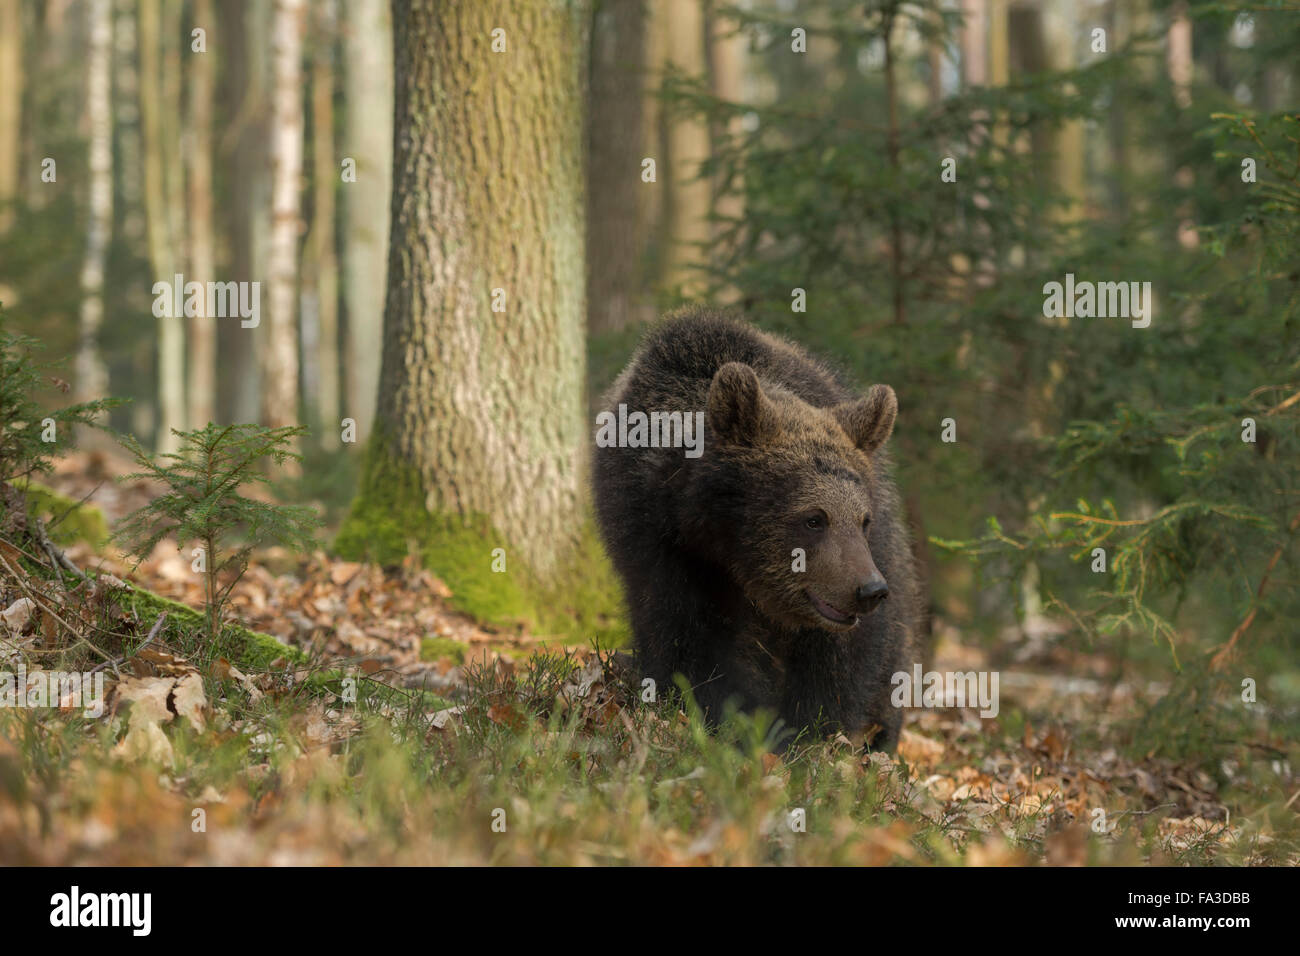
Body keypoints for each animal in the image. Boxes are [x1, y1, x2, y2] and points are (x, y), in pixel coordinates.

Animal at [593, 306, 920, 751]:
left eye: (863, 519)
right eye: (814, 518)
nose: (869, 590)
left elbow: (840, 661)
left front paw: (811, 733)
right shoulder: (659, 540)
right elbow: (687, 636)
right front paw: (727, 718)